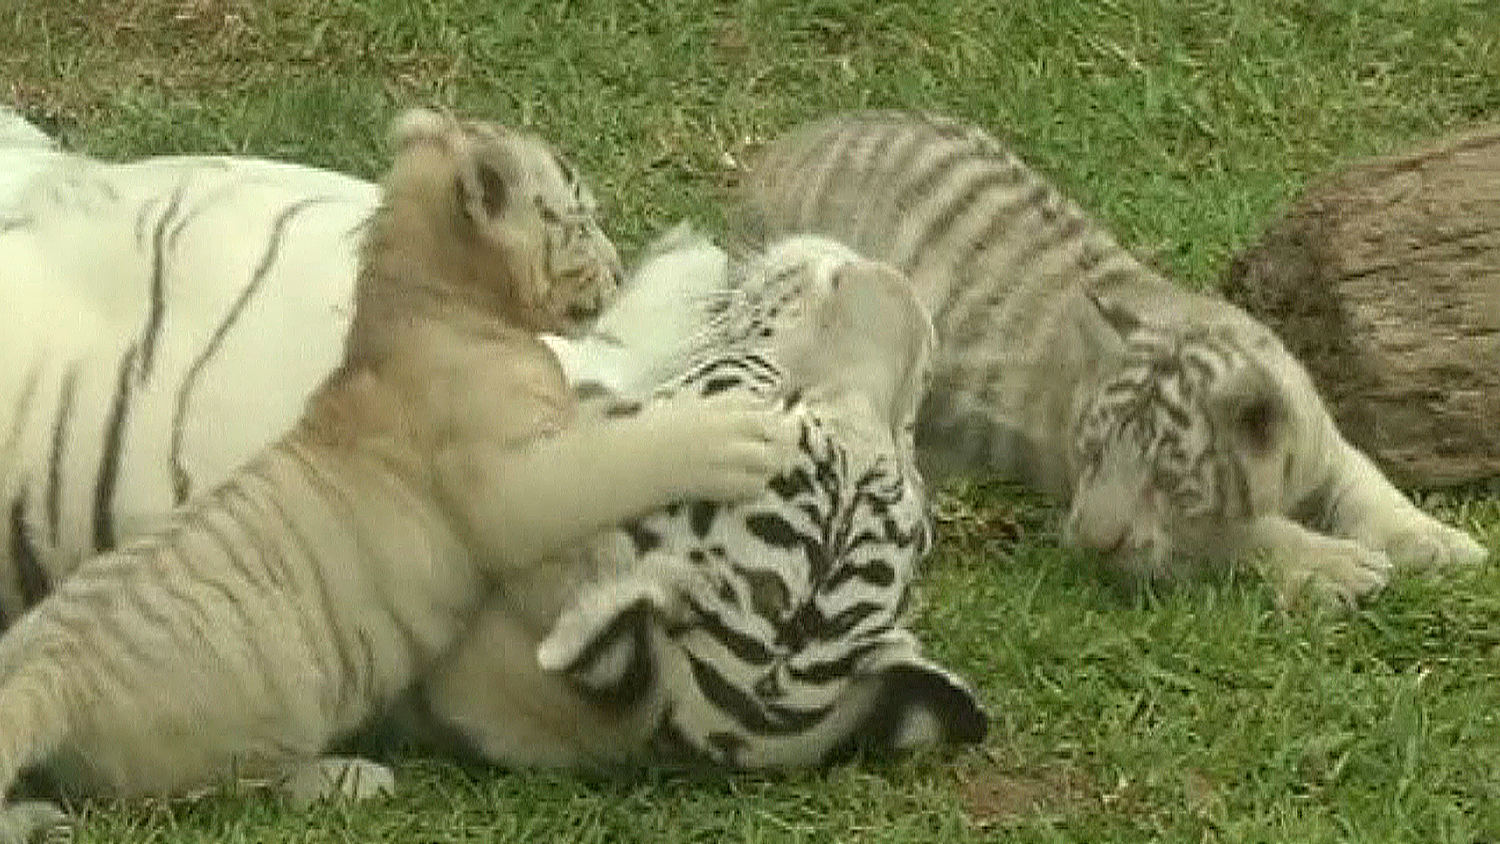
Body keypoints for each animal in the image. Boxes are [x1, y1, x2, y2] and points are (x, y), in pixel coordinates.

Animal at [0, 108, 803, 841]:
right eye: (578, 220)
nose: (614, 261)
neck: (424, 297)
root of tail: (53, 680)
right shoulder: (510, 486)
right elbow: (621, 449)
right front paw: (735, 426)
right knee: (224, 785)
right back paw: (348, 778)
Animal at [737, 110, 1488, 607]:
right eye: (1091, 454)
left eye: (1165, 477)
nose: (1090, 544)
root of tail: (774, 155)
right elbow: (1245, 535)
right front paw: (1337, 566)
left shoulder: (1323, 443)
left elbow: (1374, 489)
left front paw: (1442, 545)